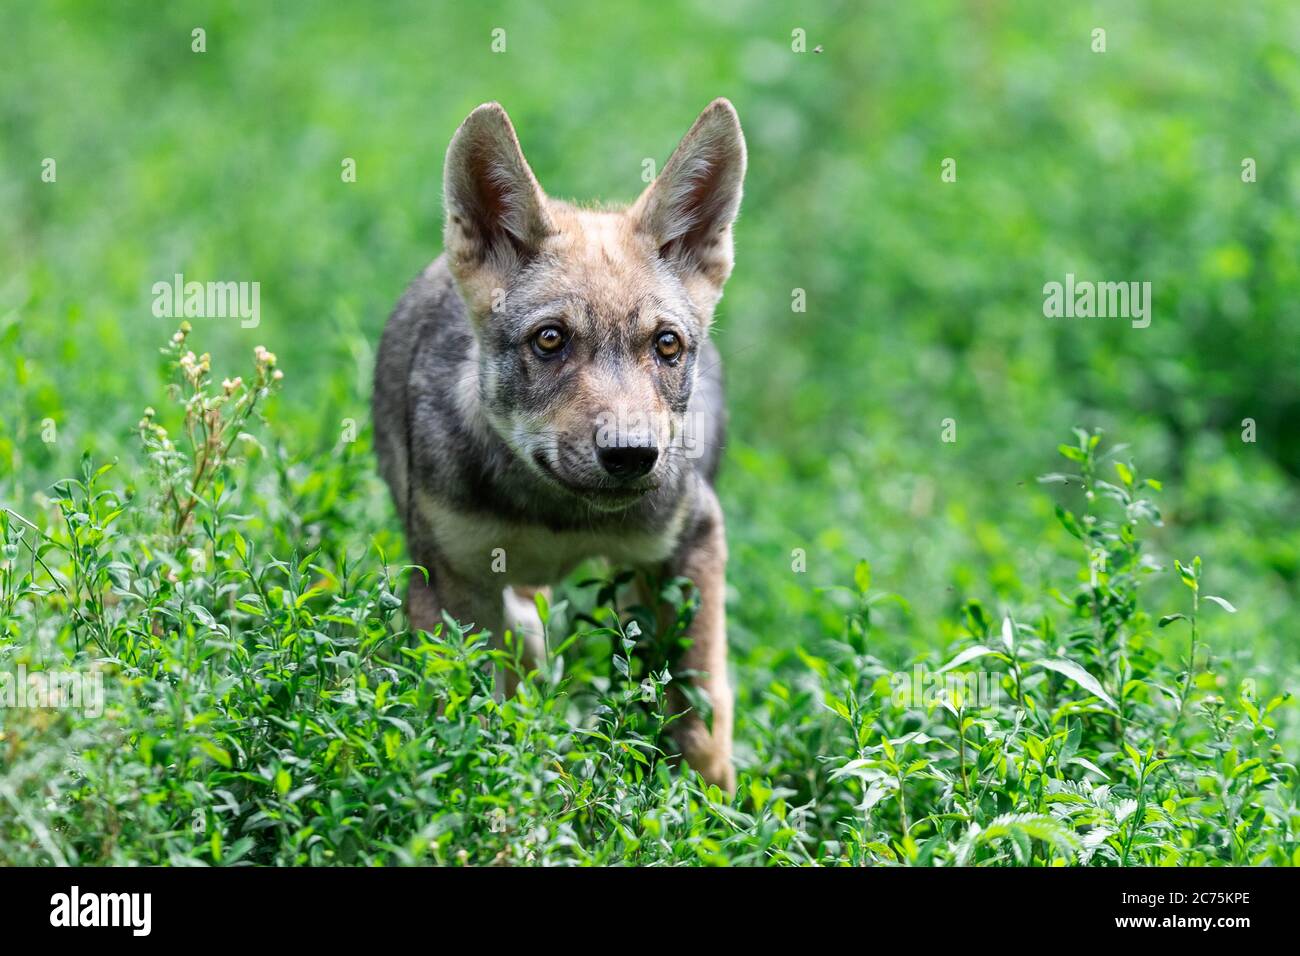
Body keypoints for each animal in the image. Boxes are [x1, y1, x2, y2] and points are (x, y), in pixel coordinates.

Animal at [372, 99, 746, 792]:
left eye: (667, 345)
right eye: (550, 340)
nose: (631, 455)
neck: (557, 522)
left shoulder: (692, 542)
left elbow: (702, 711)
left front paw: (713, 809)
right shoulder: (451, 584)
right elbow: (455, 723)